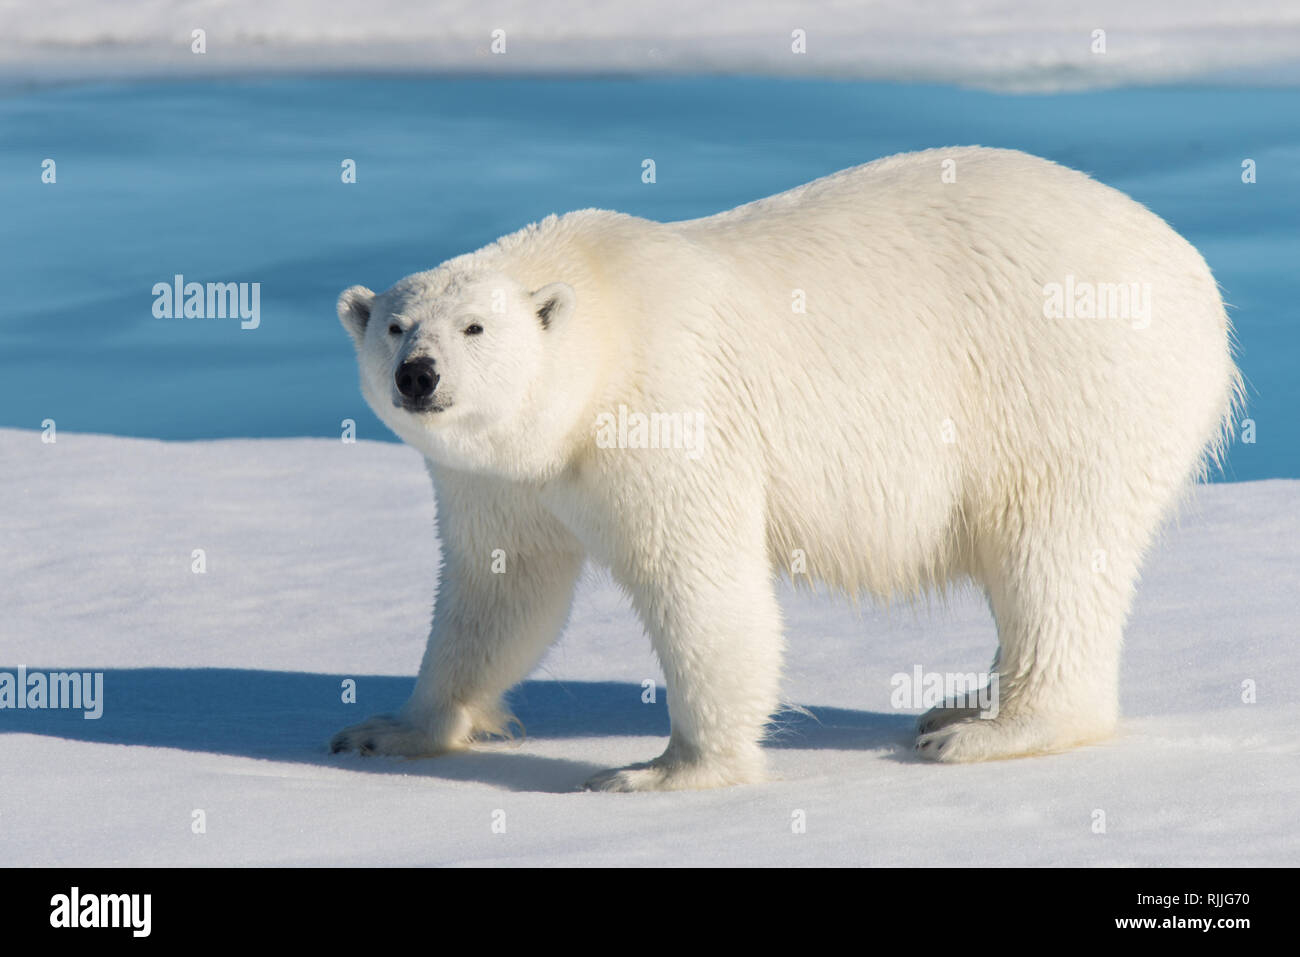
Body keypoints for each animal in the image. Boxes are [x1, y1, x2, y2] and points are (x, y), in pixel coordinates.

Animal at [330, 146, 1241, 791]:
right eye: (396, 325)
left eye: (475, 327)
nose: (420, 375)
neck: (603, 314)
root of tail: (1193, 272)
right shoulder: (502, 476)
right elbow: (498, 588)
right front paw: (389, 728)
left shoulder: (667, 408)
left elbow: (700, 581)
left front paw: (664, 769)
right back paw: (960, 701)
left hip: (1067, 386)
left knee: (1049, 550)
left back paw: (986, 729)